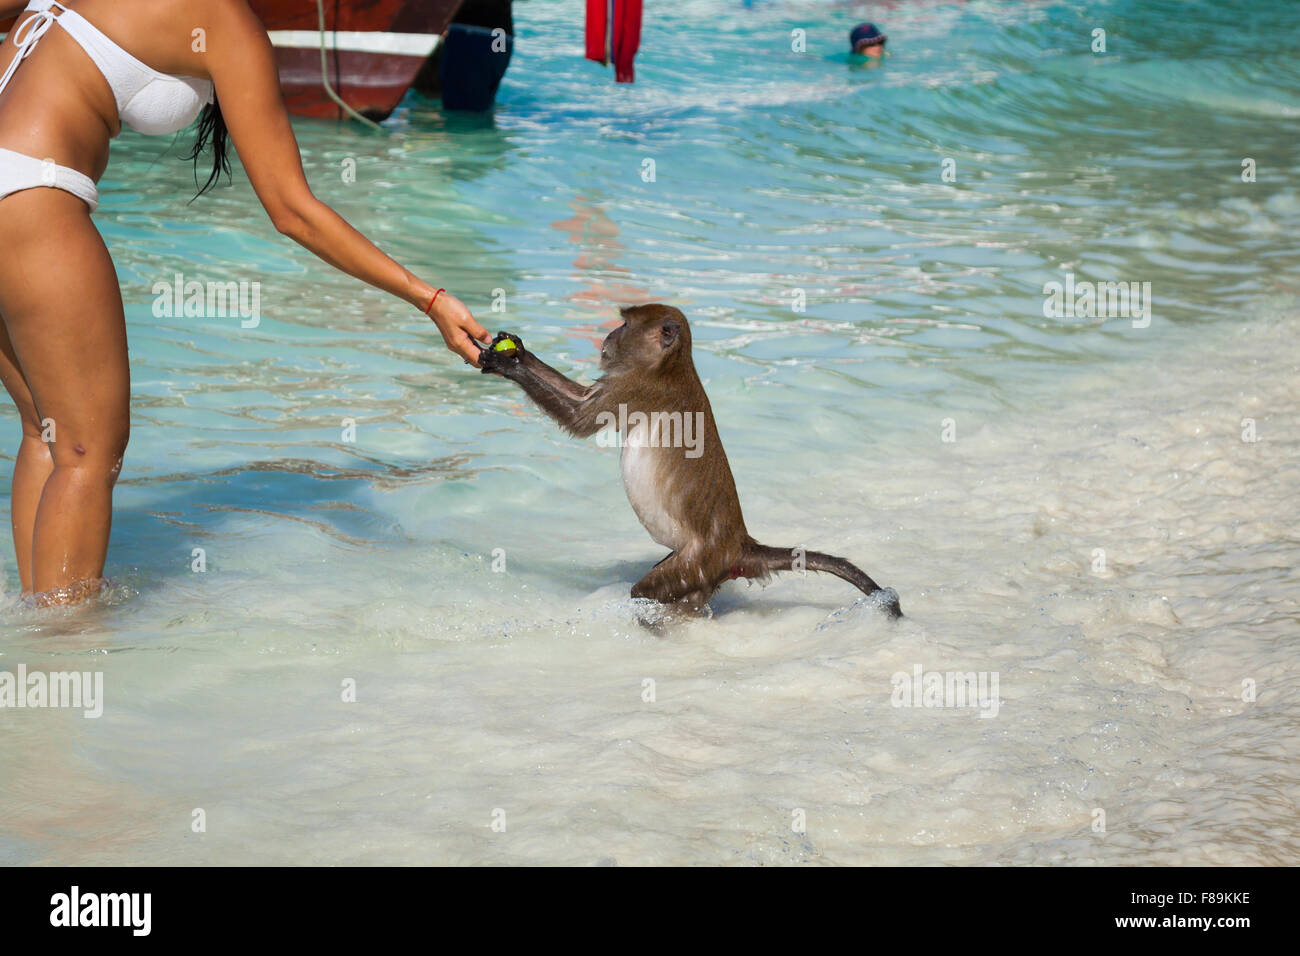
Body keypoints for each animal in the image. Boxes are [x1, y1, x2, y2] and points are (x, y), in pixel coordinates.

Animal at [476, 304, 902, 619]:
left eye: (625, 322)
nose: (608, 335)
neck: (671, 363)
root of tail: (738, 544)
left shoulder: (634, 387)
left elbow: (579, 417)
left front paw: (510, 365)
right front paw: (517, 352)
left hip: (697, 562)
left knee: (651, 590)